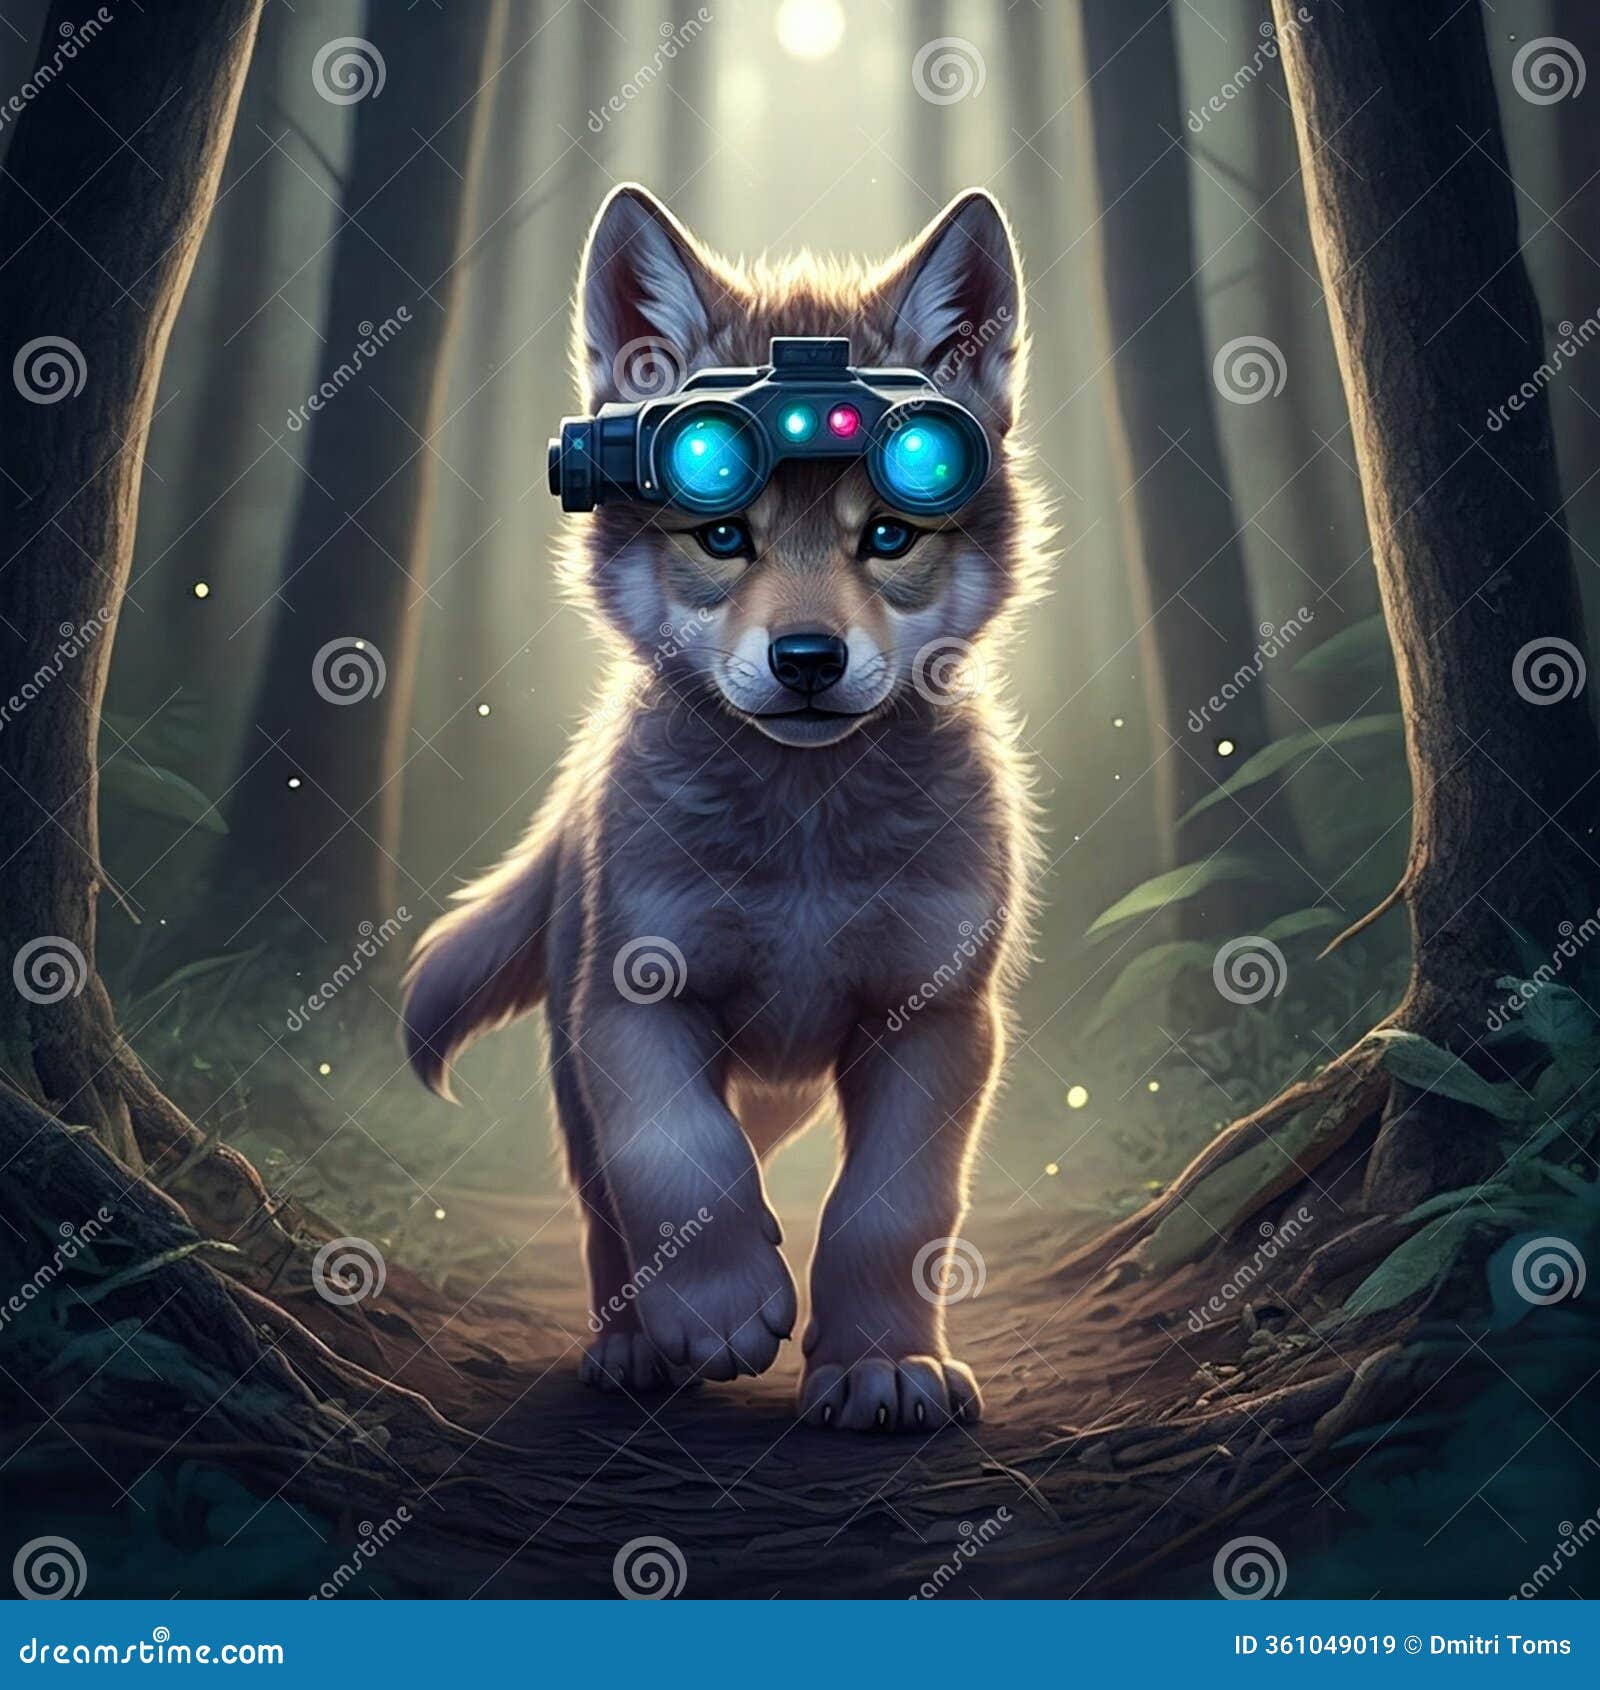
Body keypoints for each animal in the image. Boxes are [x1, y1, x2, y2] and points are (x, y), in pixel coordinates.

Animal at [402, 184, 1049, 1432]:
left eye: (885, 535)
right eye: (720, 534)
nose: (805, 658)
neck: (802, 827)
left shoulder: (937, 1020)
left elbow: (890, 1209)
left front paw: (882, 1365)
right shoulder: (632, 999)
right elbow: (675, 1157)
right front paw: (717, 1308)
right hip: (574, 1051)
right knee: (604, 1203)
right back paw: (631, 1346)